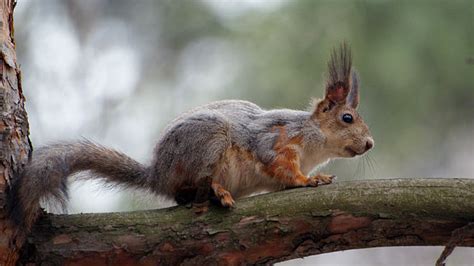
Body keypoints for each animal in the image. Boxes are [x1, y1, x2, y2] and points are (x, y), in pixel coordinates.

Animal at [7, 42, 374, 230]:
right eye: (347, 118)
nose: (370, 144)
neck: (314, 141)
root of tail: (158, 173)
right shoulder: (277, 141)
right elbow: (280, 166)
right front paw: (309, 180)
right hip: (211, 140)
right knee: (185, 191)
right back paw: (216, 191)